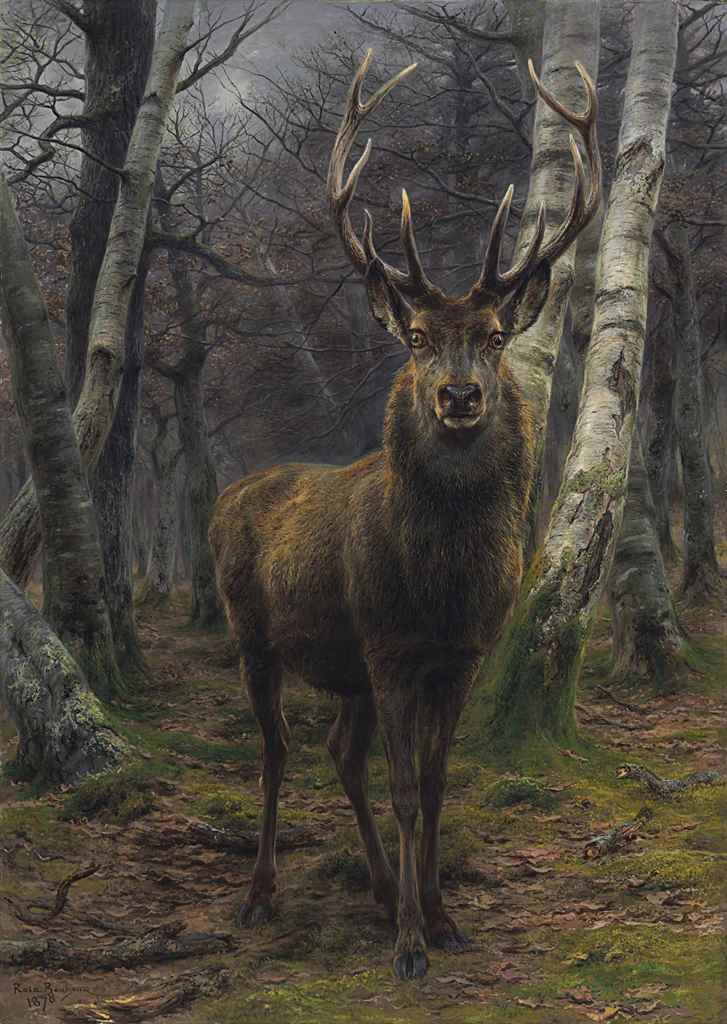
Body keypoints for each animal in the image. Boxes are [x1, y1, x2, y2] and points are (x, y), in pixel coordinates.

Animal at [209, 50, 600, 980]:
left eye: (493, 335)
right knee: (278, 753)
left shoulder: (455, 655)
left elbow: (432, 783)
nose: (457, 395)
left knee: (335, 754)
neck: (440, 586)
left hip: (343, 662)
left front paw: (440, 915)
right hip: (252, 631)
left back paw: (384, 891)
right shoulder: (389, 647)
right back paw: (260, 894)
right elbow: (401, 789)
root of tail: (231, 493)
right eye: (418, 338)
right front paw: (411, 949)